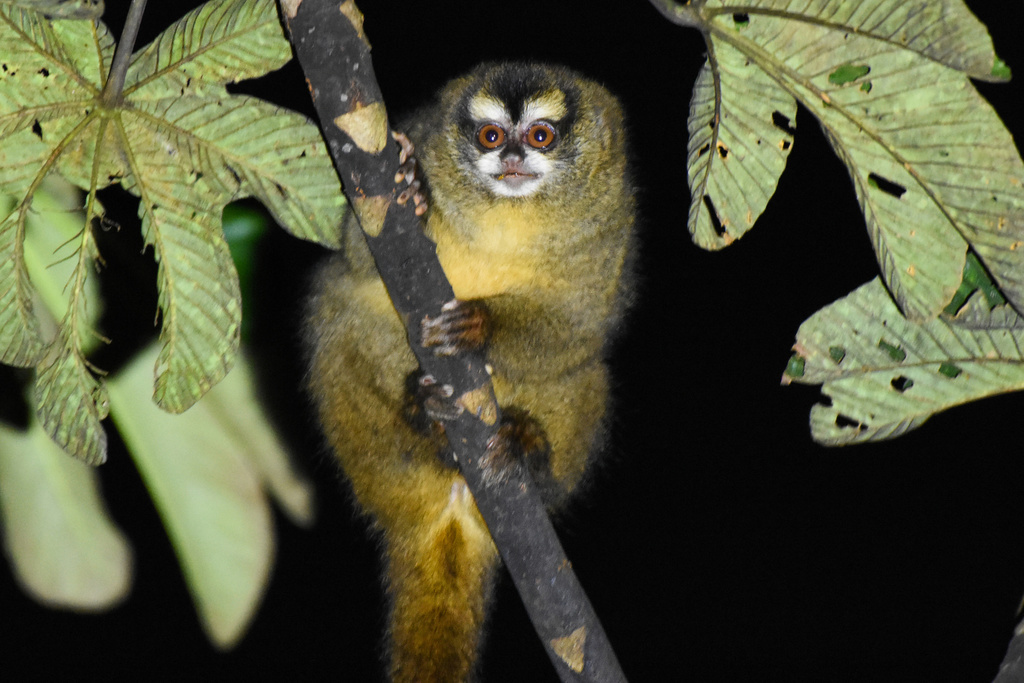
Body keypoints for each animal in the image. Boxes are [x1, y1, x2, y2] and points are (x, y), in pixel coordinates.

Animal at [303, 62, 636, 682]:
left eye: (540, 137)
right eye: (489, 136)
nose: (512, 158)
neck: (510, 210)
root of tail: (450, 510)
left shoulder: (611, 228)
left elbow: (581, 325)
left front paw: (483, 324)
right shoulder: (411, 147)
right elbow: (358, 257)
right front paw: (415, 191)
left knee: (589, 370)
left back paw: (532, 453)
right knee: (336, 306)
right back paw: (422, 416)